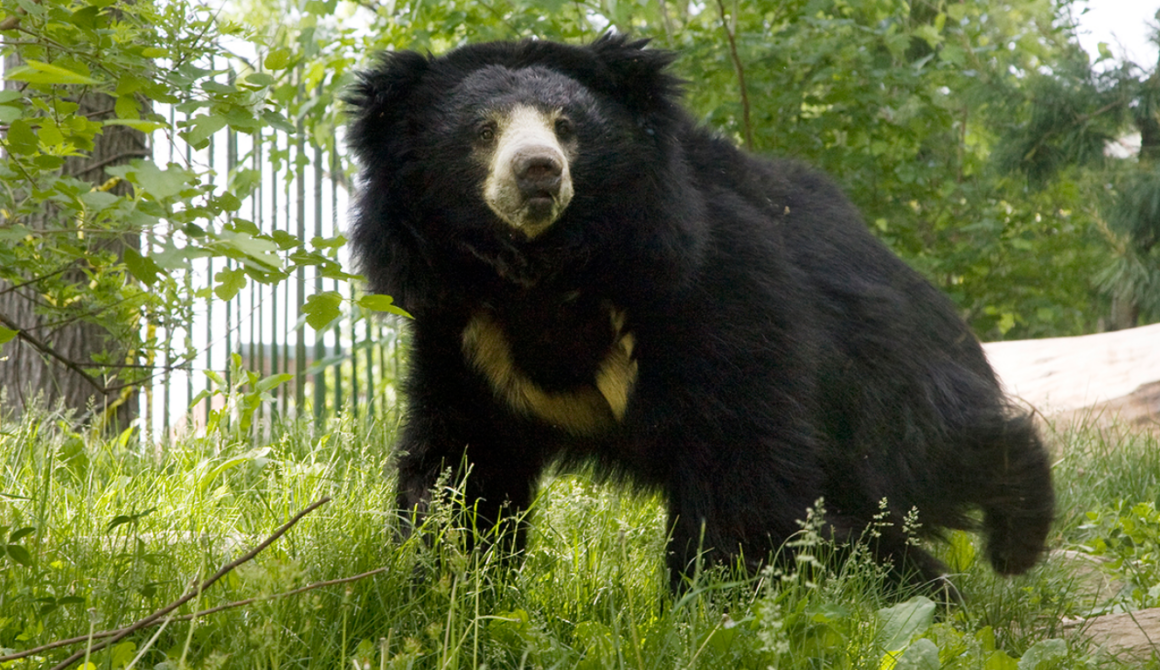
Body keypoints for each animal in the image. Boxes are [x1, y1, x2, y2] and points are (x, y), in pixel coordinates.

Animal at [344, 34, 1055, 592]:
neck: (545, 274)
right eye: (483, 131)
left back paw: (1013, 535)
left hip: (876, 373)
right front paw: (448, 583)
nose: (538, 172)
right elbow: (464, 466)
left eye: (566, 126)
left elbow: (738, 457)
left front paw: (711, 602)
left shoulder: (713, 288)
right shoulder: (464, 329)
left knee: (924, 453)